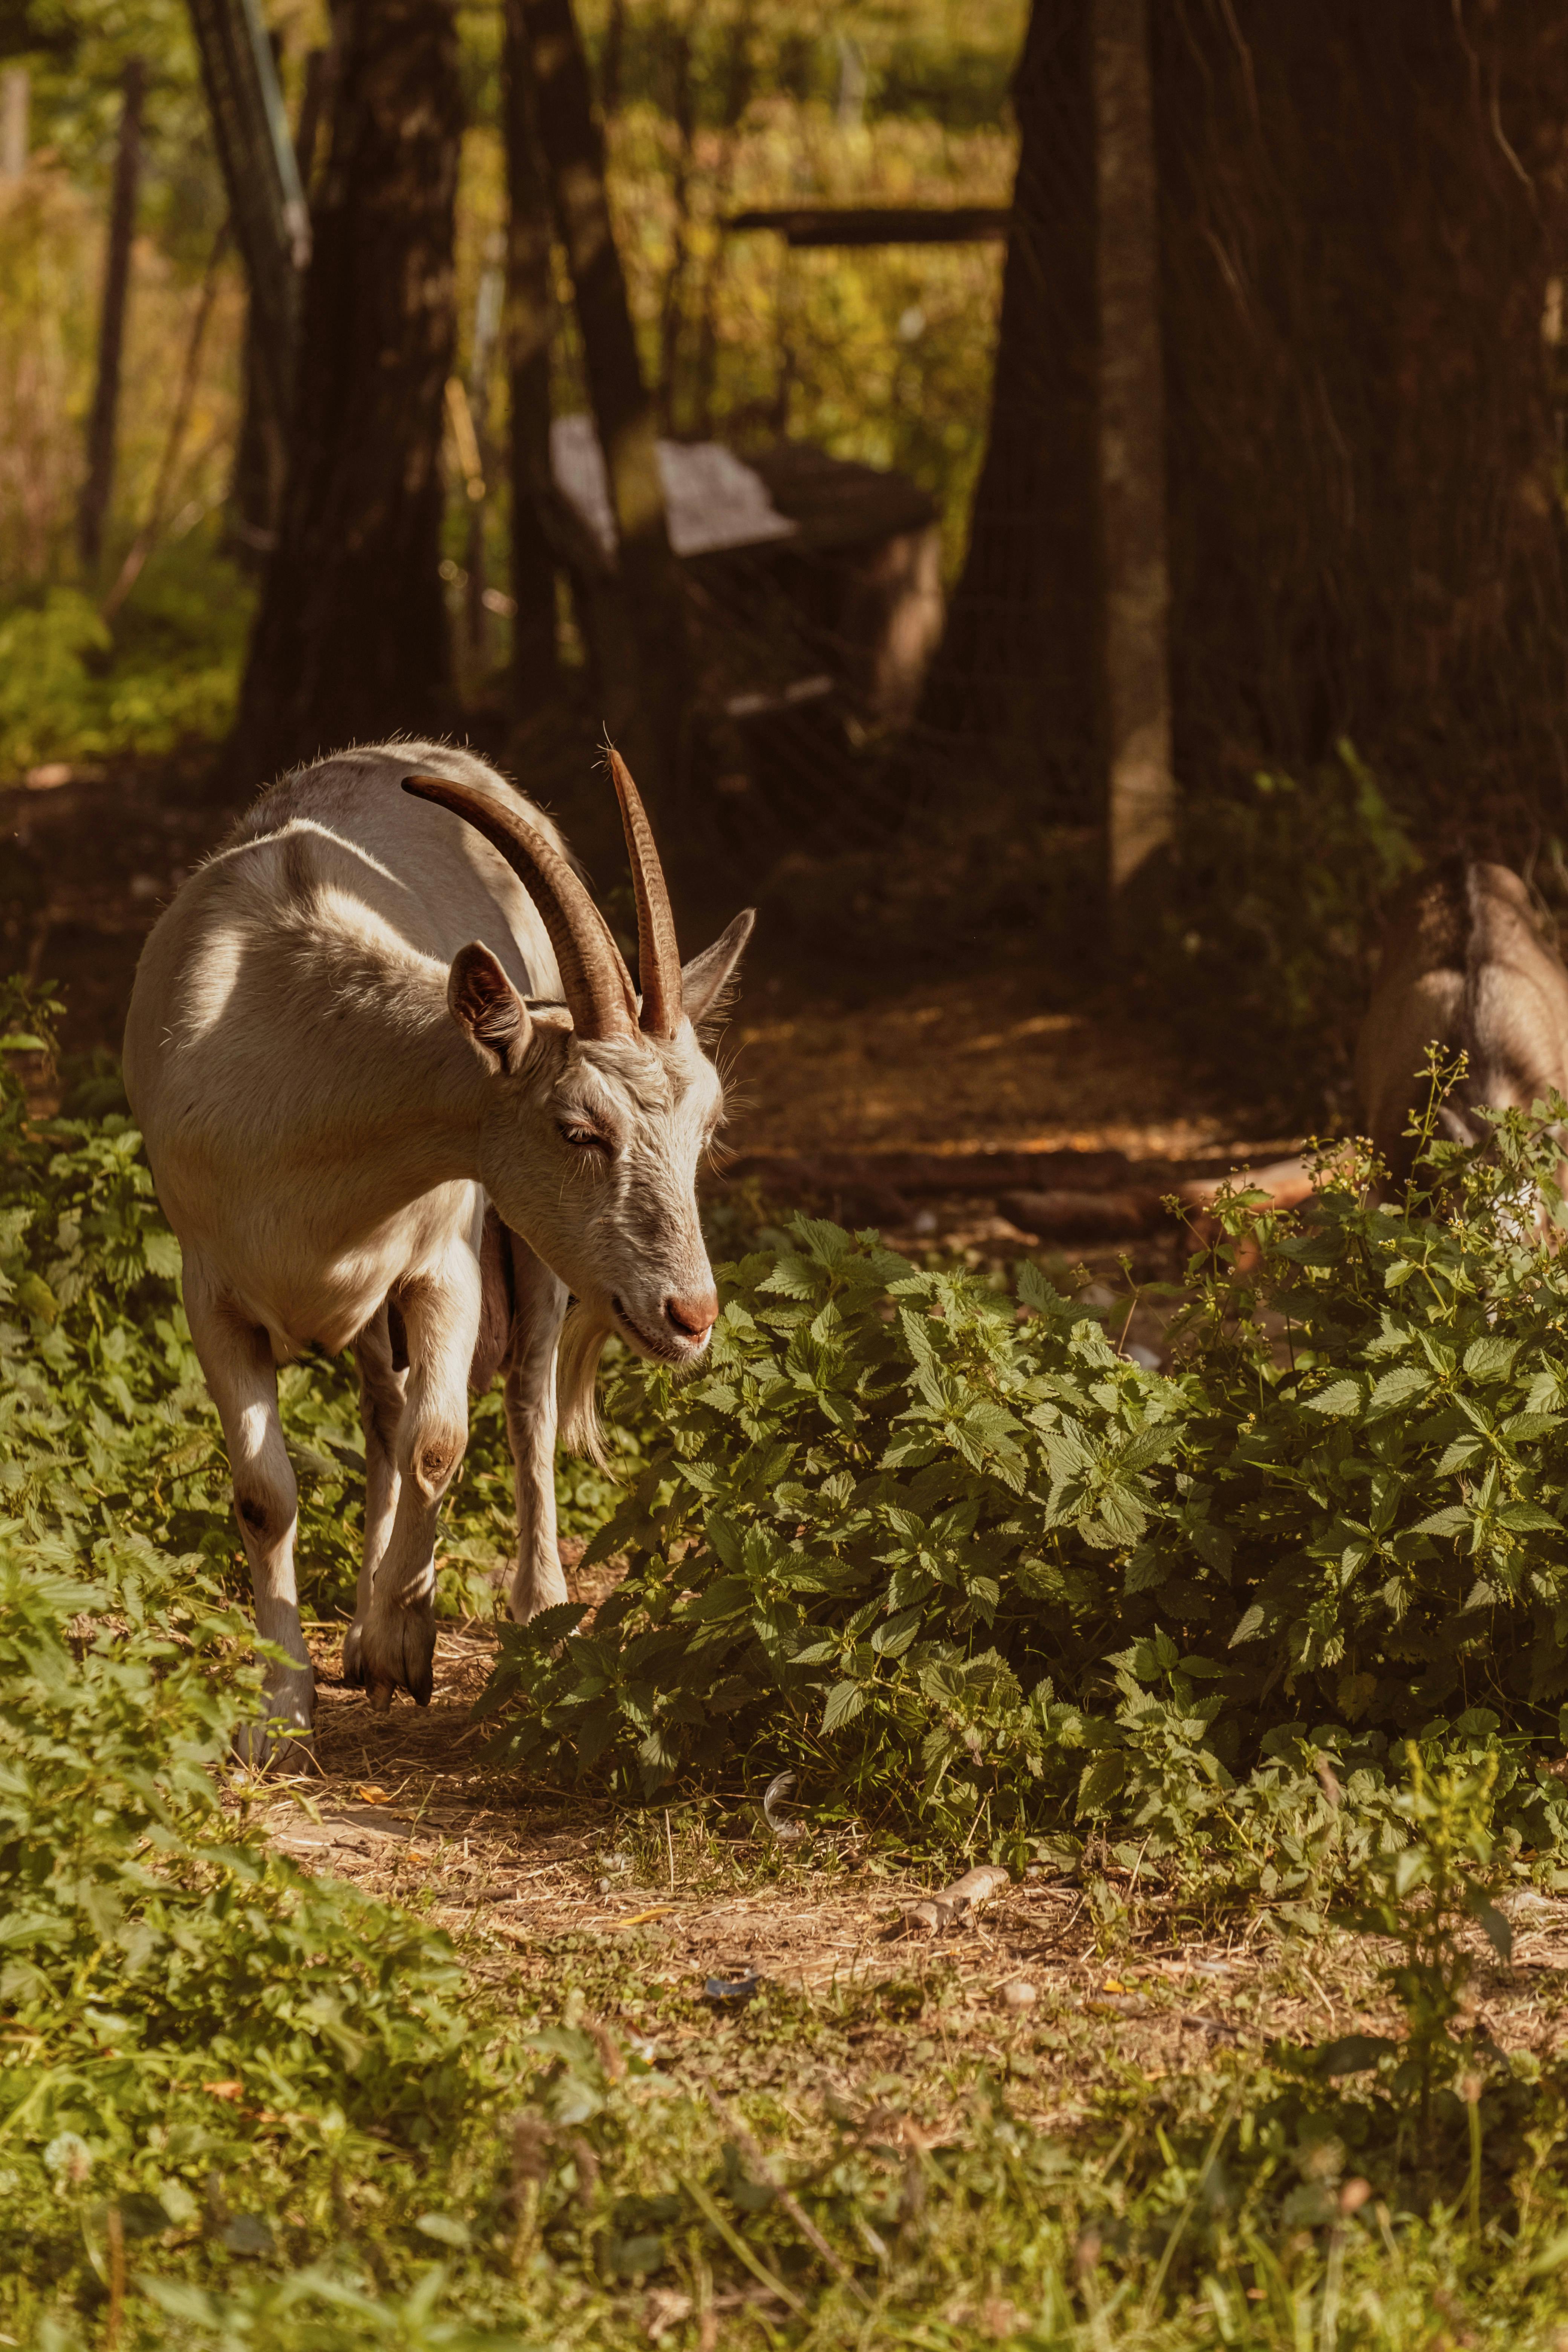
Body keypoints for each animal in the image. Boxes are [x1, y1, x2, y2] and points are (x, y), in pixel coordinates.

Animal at [123, 741, 753, 1762]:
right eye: (579, 1129)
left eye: (707, 1126)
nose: (689, 1316)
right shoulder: (210, 1290)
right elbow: (265, 1492)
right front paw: (282, 1713)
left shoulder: (445, 1263)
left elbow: (441, 1442)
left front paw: (401, 1645)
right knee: (384, 1406)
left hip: (526, 1259)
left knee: (527, 1395)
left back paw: (532, 1611)